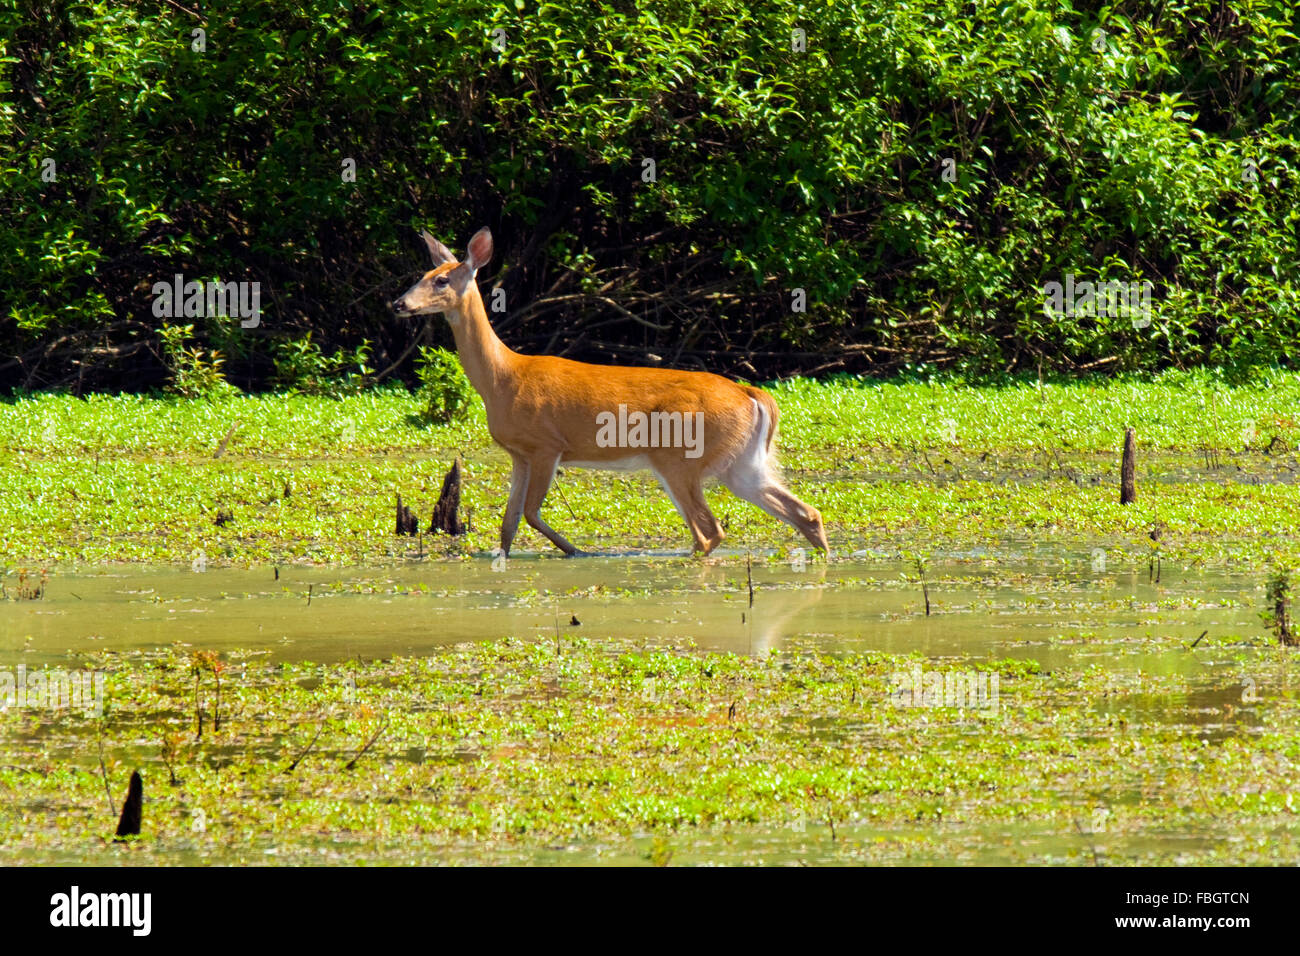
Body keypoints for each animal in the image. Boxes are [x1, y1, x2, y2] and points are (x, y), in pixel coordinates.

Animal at [390, 227, 829, 559]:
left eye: (441, 279)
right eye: (422, 275)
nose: (398, 304)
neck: (503, 378)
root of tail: (751, 394)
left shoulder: (547, 445)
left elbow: (530, 514)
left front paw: (577, 551)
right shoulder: (519, 453)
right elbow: (508, 524)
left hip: (679, 458)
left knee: (710, 532)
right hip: (741, 463)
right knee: (805, 512)